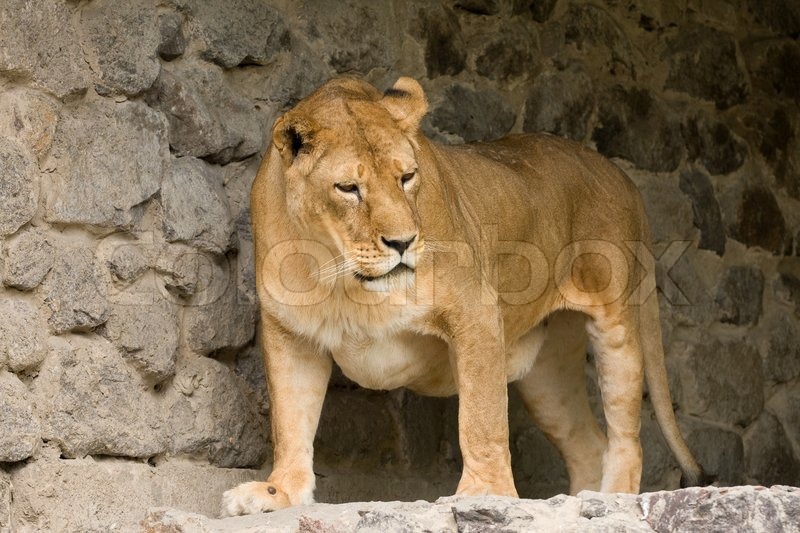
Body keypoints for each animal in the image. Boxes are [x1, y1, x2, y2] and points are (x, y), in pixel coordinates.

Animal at [220, 77, 707, 516]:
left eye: (407, 177)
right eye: (348, 188)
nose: (403, 242)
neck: (341, 276)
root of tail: (621, 175)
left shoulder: (475, 313)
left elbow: (481, 415)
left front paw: (485, 492)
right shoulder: (290, 334)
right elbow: (291, 420)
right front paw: (279, 492)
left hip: (616, 324)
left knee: (626, 437)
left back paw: (614, 501)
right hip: (547, 378)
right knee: (589, 446)